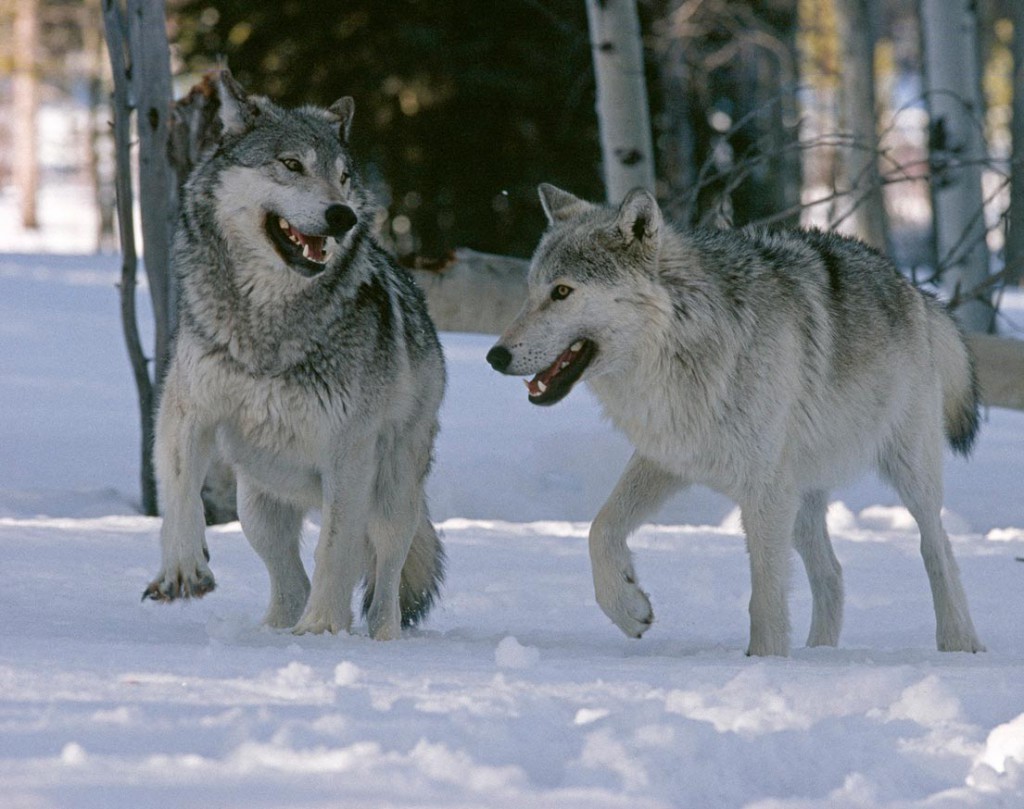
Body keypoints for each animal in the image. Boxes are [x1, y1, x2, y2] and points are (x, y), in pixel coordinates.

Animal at [143, 71, 446, 641]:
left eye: (343, 176)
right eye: (290, 165)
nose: (342, 215)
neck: (268, 325)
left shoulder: (348, 455)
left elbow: (334, 554)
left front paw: (321, 632)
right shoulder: (186, 412)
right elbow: (180, 496)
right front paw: (182, 570)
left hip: (390, 496)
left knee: (383, 581)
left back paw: (376, 637)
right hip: (259, 504)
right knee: (288, 580)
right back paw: (274, 631)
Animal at [487, 184, 984, 656]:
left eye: (562, 292)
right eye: (531, 291)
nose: (495, 356)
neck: (683, 348)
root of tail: (913, 288)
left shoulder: (763, 491)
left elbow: (765, 600)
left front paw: (765, 663)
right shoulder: (667, 456)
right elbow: (599, 528)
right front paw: (629, 609)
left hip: (906, 472)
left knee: (936, 547)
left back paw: (959, 643)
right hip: (801, 499)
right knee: (833, 574)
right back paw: (819, 652)